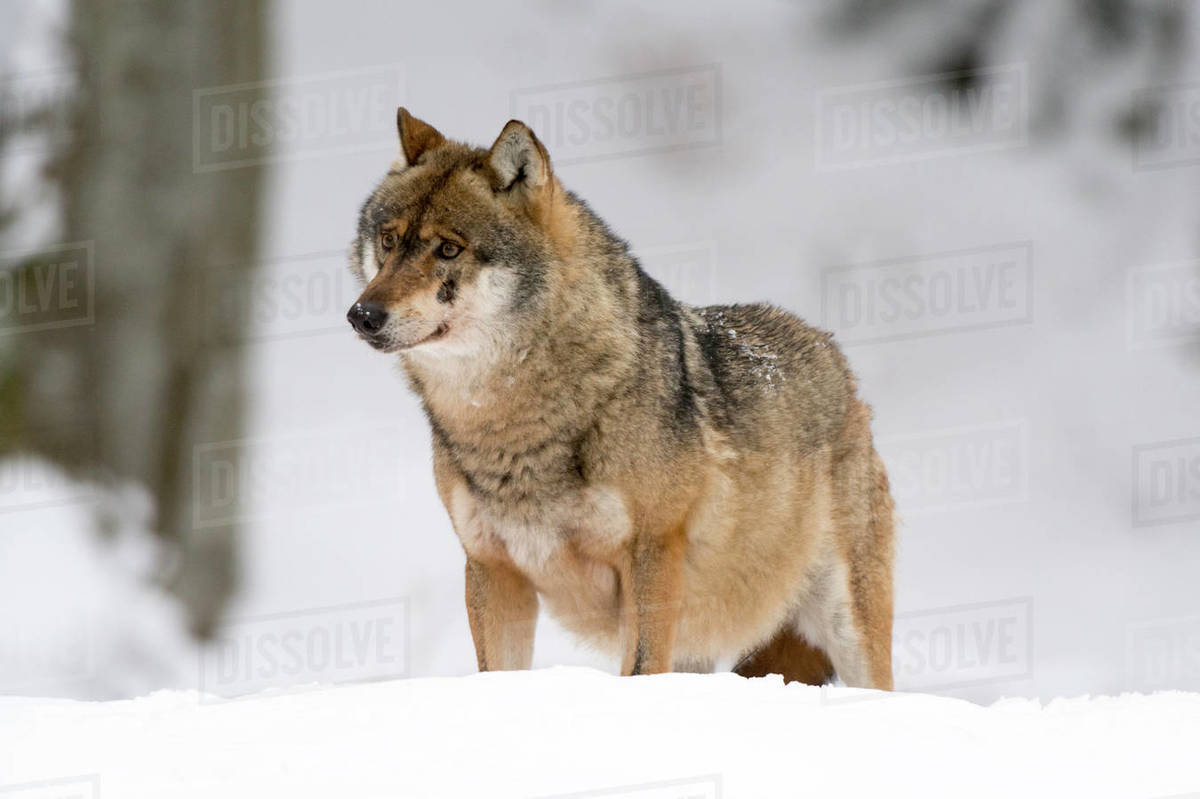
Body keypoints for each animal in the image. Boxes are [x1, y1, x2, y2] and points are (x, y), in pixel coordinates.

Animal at [346, 109, 895, 688]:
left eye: (448, 248)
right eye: (388, 241)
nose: (362, 315)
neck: (508, 422)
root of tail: (834, 357)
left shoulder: (651, 552)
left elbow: (640, 667)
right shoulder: (491, 567)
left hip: (846, 626)